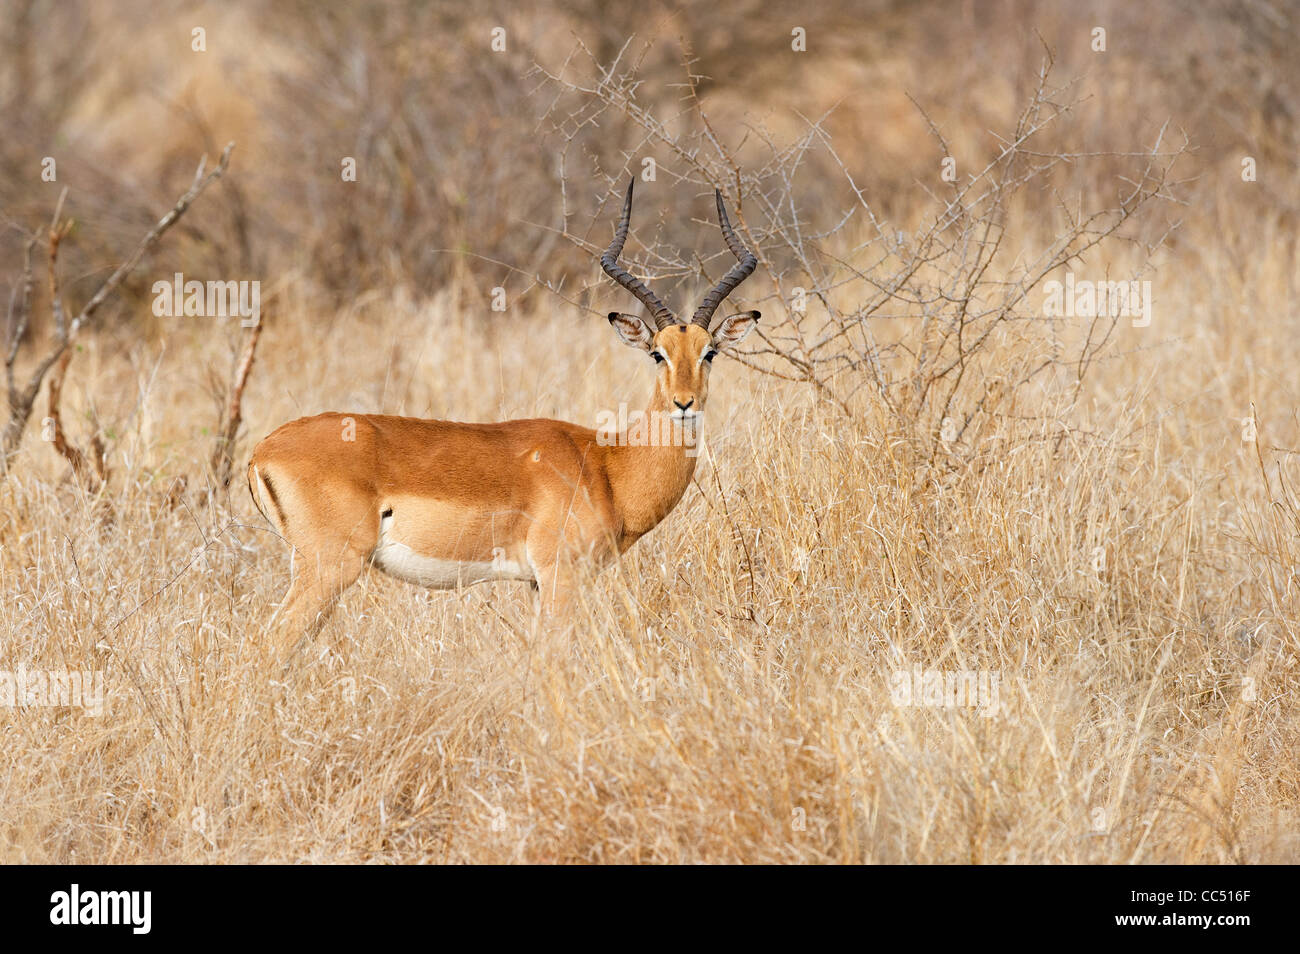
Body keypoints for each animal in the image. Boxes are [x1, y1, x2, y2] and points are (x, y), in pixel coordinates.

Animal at [247, 180, 759, 656]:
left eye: (709, 352)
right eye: (657, 354)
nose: (684, 403)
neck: (608, 466)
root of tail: (262, 450)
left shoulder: (537, 583)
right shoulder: (558, 575)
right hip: (331, 568)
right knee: (269, 644)